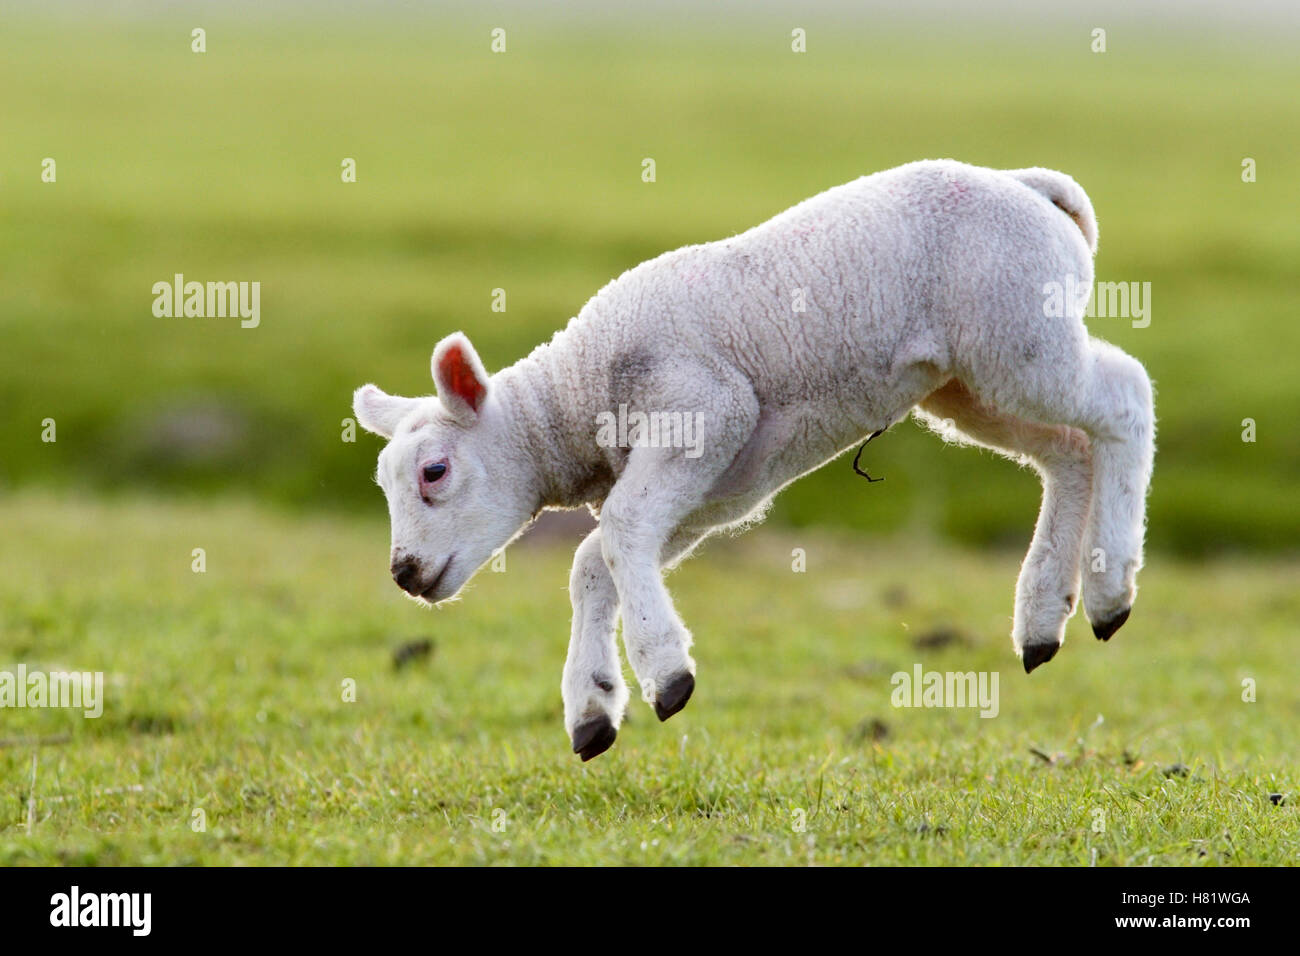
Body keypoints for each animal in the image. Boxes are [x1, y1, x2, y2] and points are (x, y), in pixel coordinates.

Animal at [352, 159, 1155, 761]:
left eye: (434, 472)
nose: (404, 574)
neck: (579, 398)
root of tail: (1030, 186)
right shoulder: (721, 484)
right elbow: (597, 556)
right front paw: (593, 709)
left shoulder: (705, 411)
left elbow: (618, 530)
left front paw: (665, 674)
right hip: (971, 380)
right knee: (1069, 451)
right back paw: (1046, 614)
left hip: (1018, 338)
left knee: (1124, 395)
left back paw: (1111, 587)